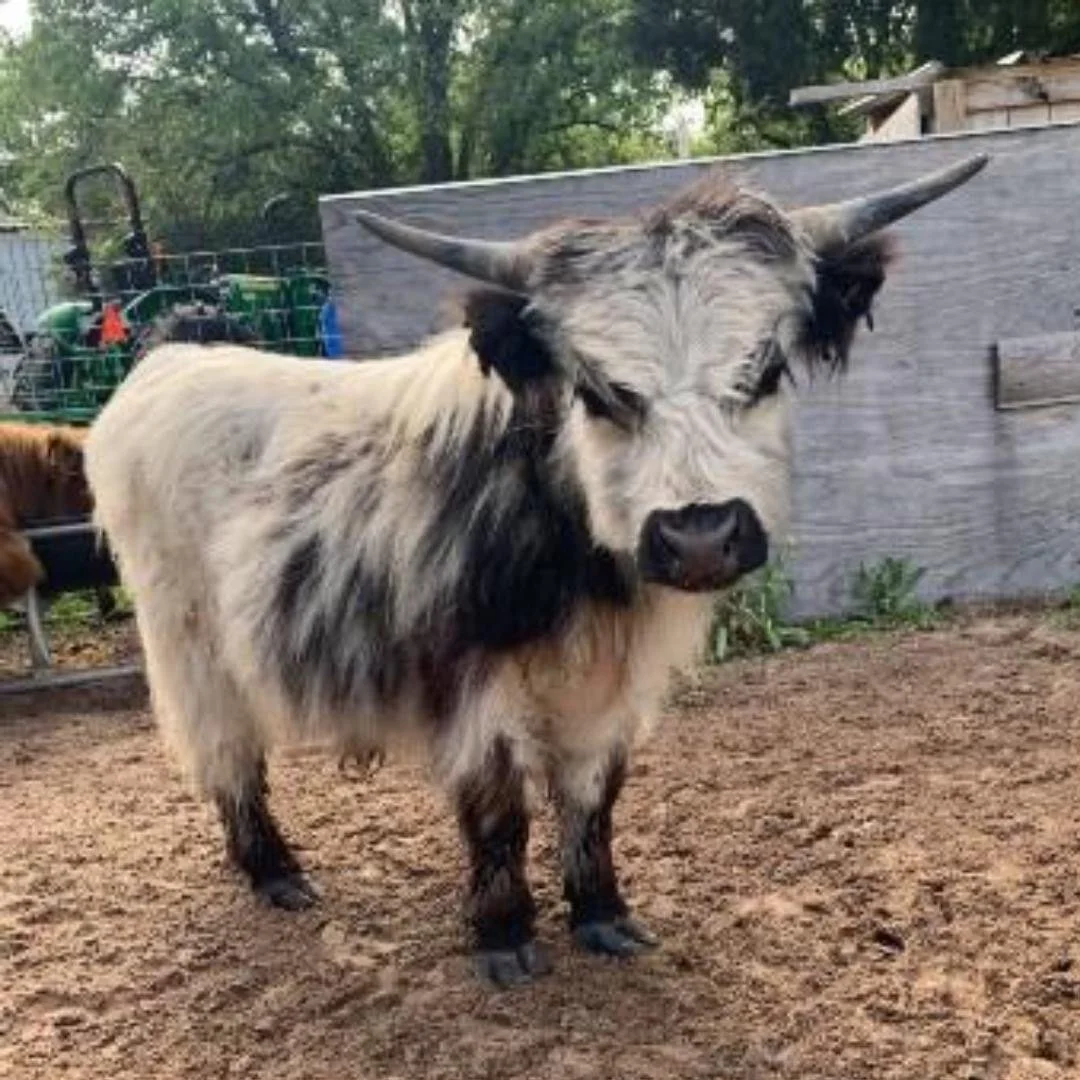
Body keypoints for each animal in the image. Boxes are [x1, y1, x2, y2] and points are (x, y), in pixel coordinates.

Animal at [84, 154, 988, 986]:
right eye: (597, 390)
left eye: (763, 372)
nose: (699, 536)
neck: (577, 566)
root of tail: (172, 358)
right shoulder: (471, 689)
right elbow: (498, 811)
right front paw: (506, 935)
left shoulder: (614, 689)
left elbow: (592, 799)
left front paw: (601, 914)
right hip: (187, 638)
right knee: (225, 751)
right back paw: (275, 873)